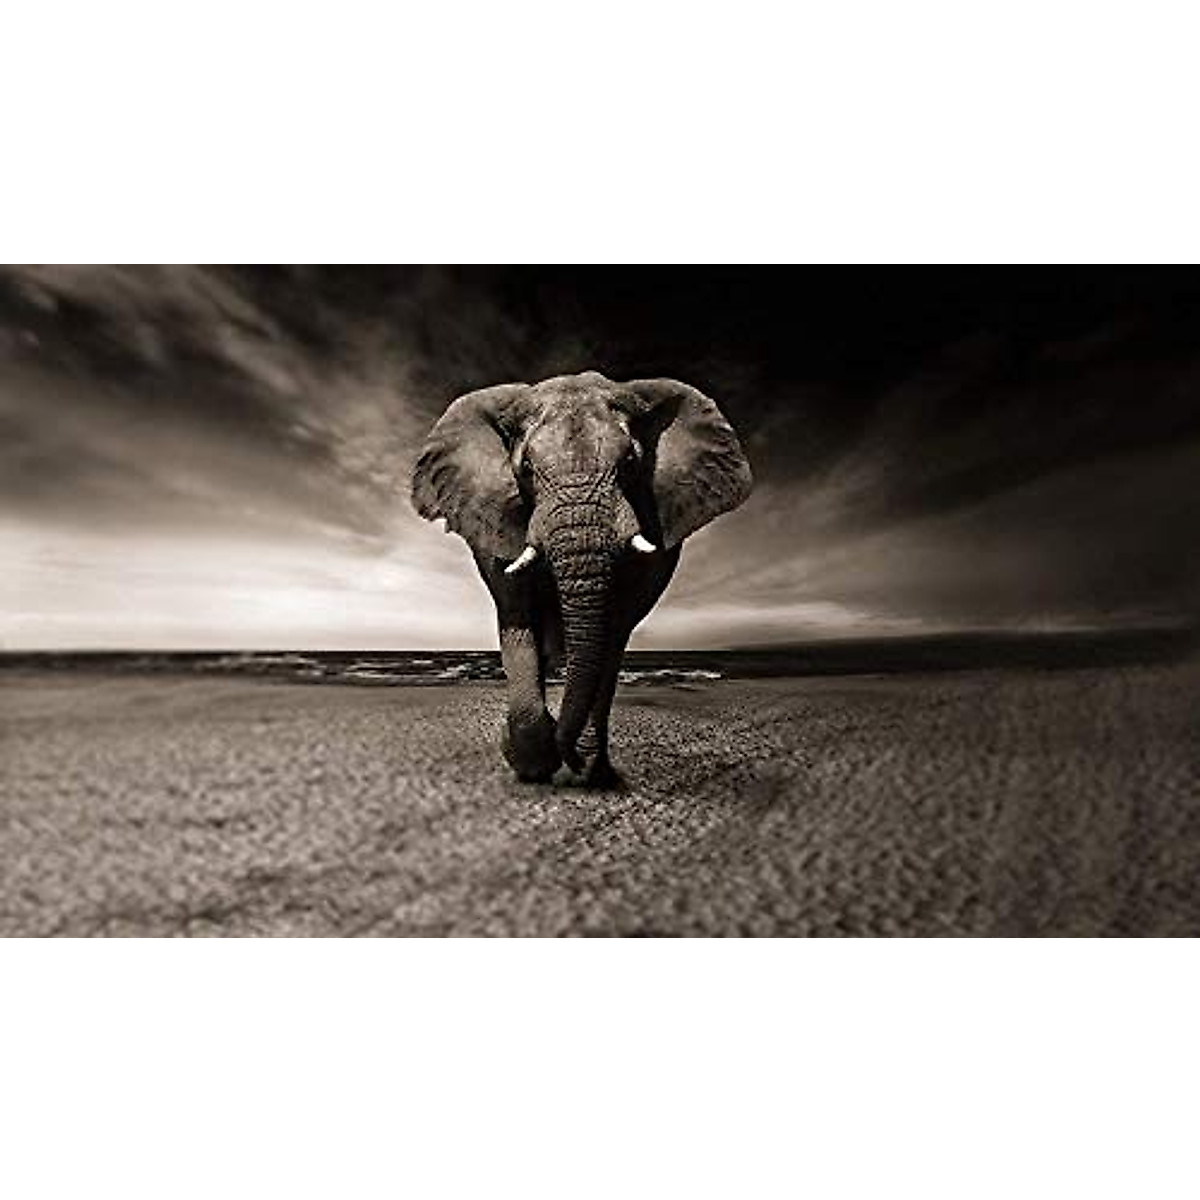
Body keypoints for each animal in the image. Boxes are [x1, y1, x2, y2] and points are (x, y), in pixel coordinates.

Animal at [411, 371, 753, 786]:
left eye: (630, 463)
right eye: (526, 468)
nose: (568, 756)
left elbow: (613, 627)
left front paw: (578, 766)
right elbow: (518, 616)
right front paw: (533, 763)